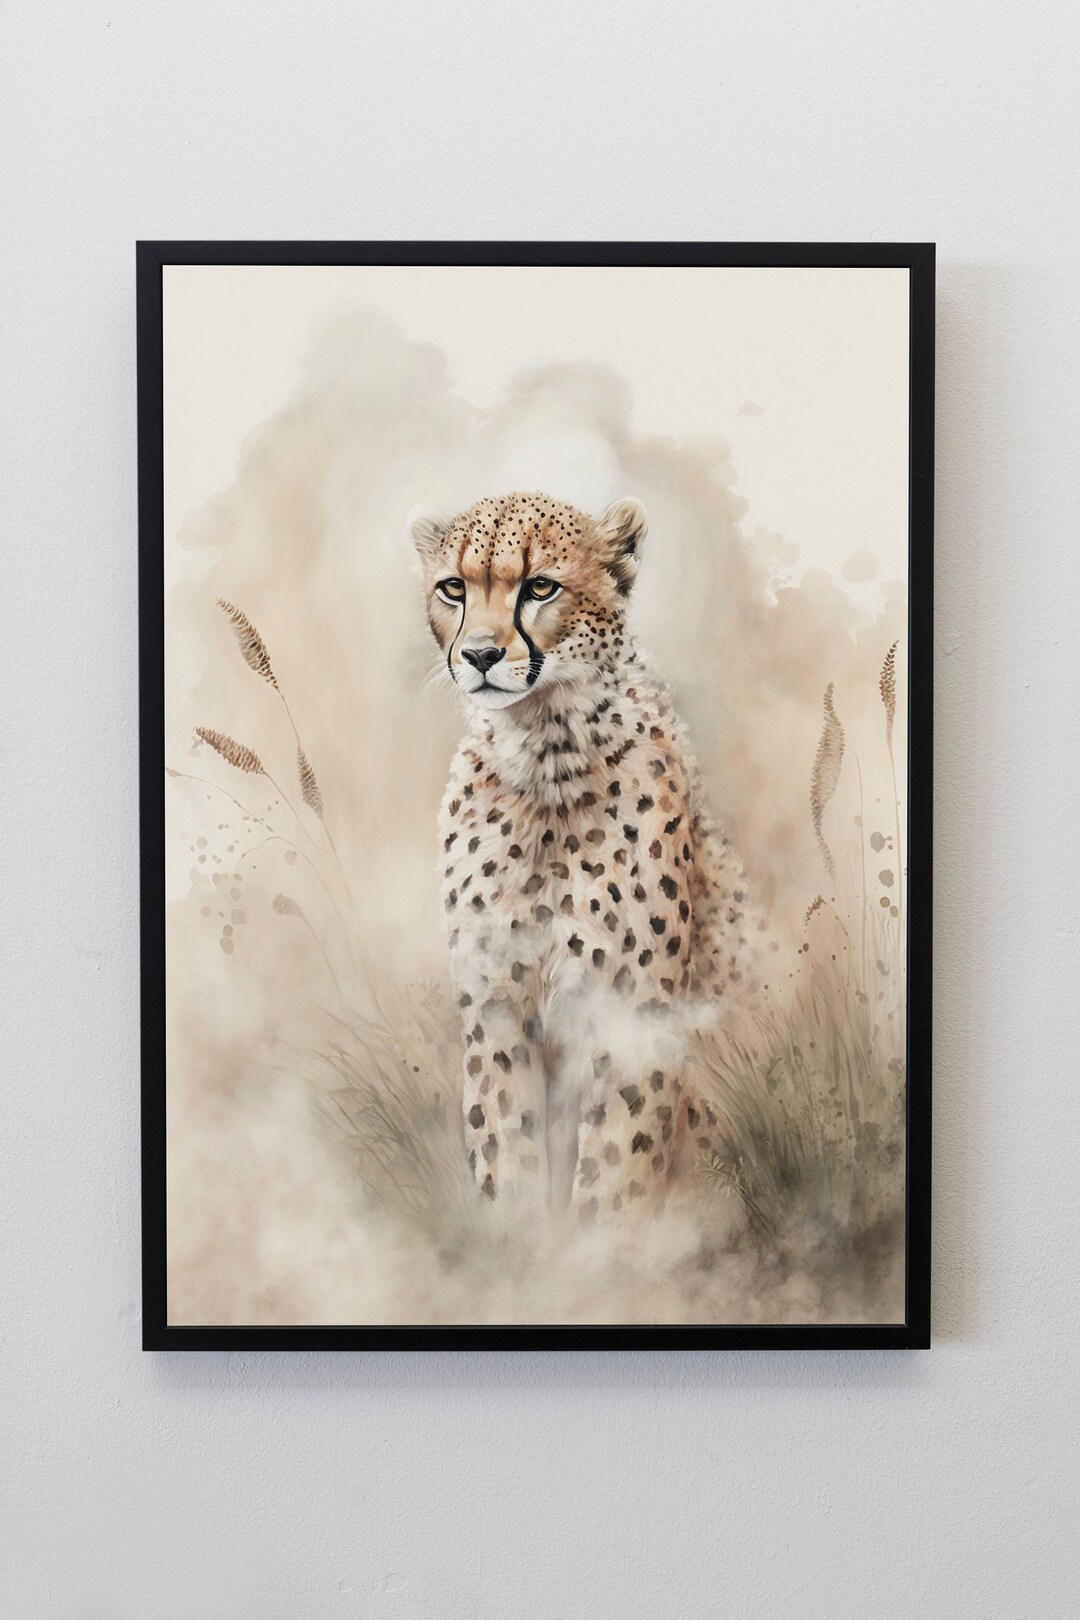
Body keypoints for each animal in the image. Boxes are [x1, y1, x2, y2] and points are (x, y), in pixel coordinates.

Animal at [408, 491, 764, 1228]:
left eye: (540, 587)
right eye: (454, 588)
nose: (480, 655)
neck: (544, 750)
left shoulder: (634, 1020)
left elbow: (616, 1171)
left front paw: (598, 1254)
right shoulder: (496, 1007)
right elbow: (506, 1150)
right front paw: (517, 1247)